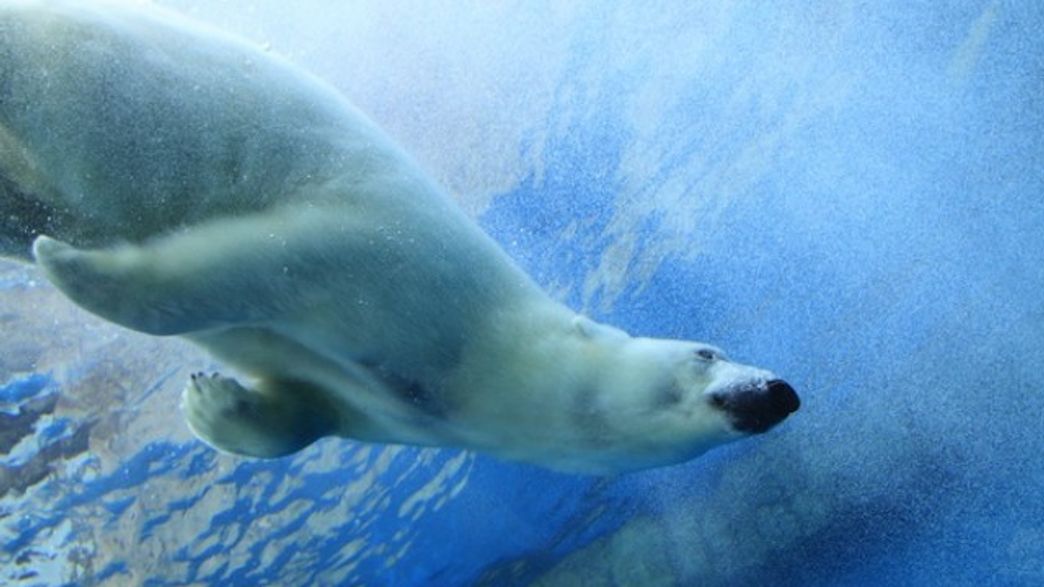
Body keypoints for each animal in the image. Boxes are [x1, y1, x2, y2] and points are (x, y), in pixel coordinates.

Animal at [0, 0, 798, 474]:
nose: (779, 391)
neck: (475, 365)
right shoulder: (393, 259)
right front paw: (72, 268)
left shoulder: (390, 408)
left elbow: (304, 409)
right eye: (707, 350)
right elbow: (253, 260)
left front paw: (212, 401)